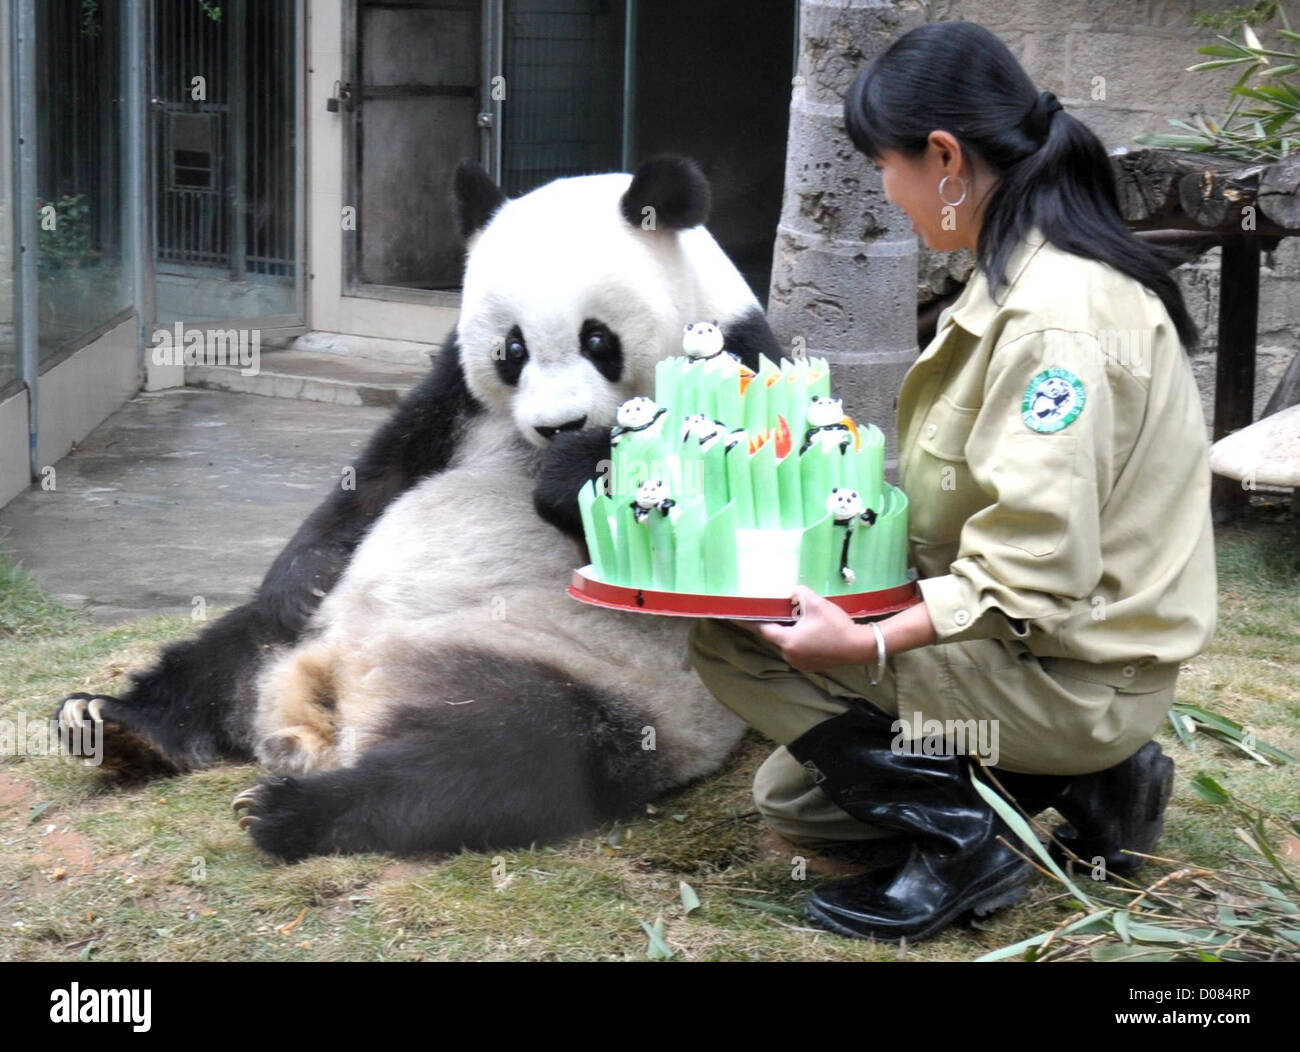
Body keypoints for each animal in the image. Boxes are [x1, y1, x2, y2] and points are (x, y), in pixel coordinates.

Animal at [56, 155, 782, 861]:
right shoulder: (455, 396)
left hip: (604, 688)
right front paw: (300, 573)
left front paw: (579, 473)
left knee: (495, 762)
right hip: (306, 634)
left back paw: (291, 811)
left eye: (598, 340)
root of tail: (342, 699)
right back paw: (115, 725)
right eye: (511, 349)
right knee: (229, 649)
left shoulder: (745, 373)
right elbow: (380, 475)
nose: (559, 426)